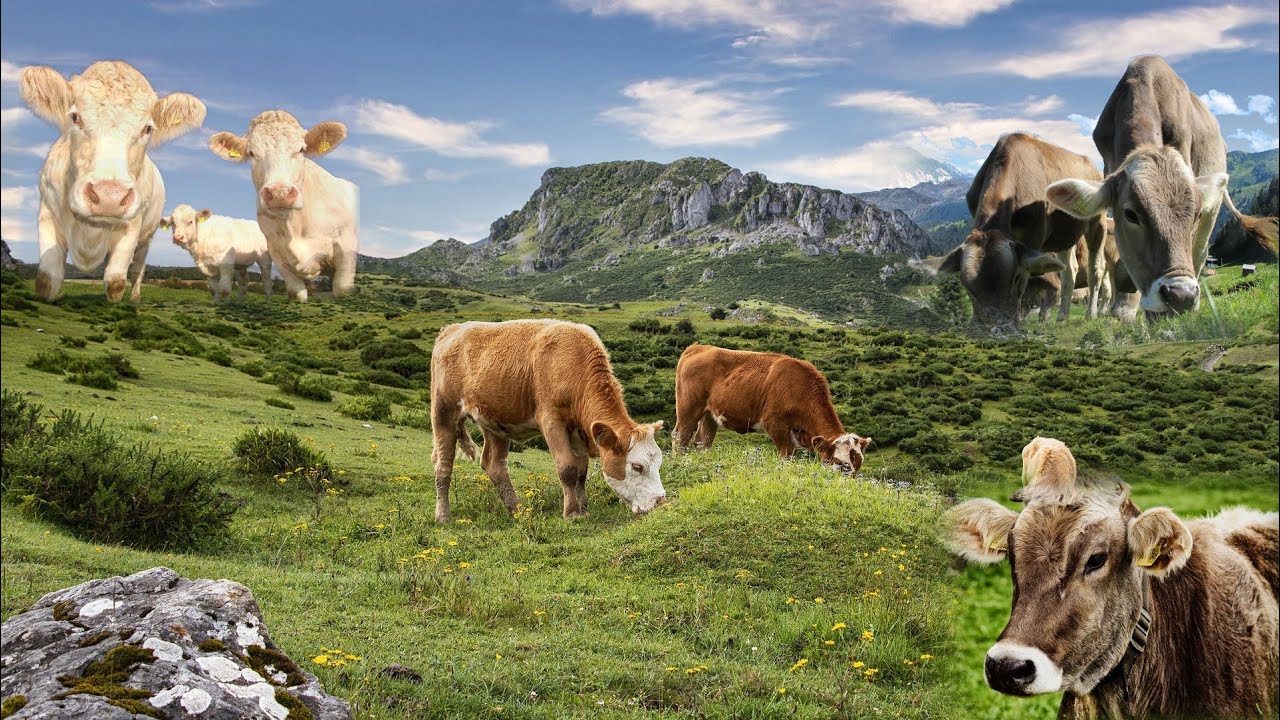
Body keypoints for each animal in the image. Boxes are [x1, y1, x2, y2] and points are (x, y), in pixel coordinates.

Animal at [19, 61, 206, 303]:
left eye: (147, 128)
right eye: (75, 117)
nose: (109, 197)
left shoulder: (133, 227)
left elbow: (116, 282)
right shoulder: (47, 214)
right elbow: (46, 280)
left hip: (146, 239)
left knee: (137, 271)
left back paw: (135, 299)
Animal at [207, 111, 358, 302]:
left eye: (301, 149)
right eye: (251, 153)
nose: (280, 193)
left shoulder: (346, 248)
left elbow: (342, 289)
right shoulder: (277, 252)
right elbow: (296, 293)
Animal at [430, 319, 666, 522]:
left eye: (659, 462)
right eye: (637, 466)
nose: (660, 501)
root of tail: (451, 330)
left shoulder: (578, 431)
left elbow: (581, 472)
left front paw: (584, 509)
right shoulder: (551, 420)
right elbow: (568, 468)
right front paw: (572, 513)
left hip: (495, 421)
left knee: (494, 465)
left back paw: (518, 511)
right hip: (443, 411)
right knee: (443, 464)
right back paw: (443, 516)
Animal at [672, 344, 871, 473]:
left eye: (858, 465)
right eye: (841, 464)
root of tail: (698, 347)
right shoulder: (776, 424)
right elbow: (785, 456)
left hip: (709, 414)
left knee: (702, 441)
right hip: (688, 407)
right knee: (680, 436)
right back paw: (681, 462)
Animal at [931, 133, 1110, 328]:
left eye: (1013, 279)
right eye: (967, 287)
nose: (988, 325)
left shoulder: (1033, 239)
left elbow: (1022, 287)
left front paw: (1016, 320)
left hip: (1098, 221)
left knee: (1096, 268)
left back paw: (1091, 314)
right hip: (1065, 234)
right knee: (1069, 271)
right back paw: (1062, 317)